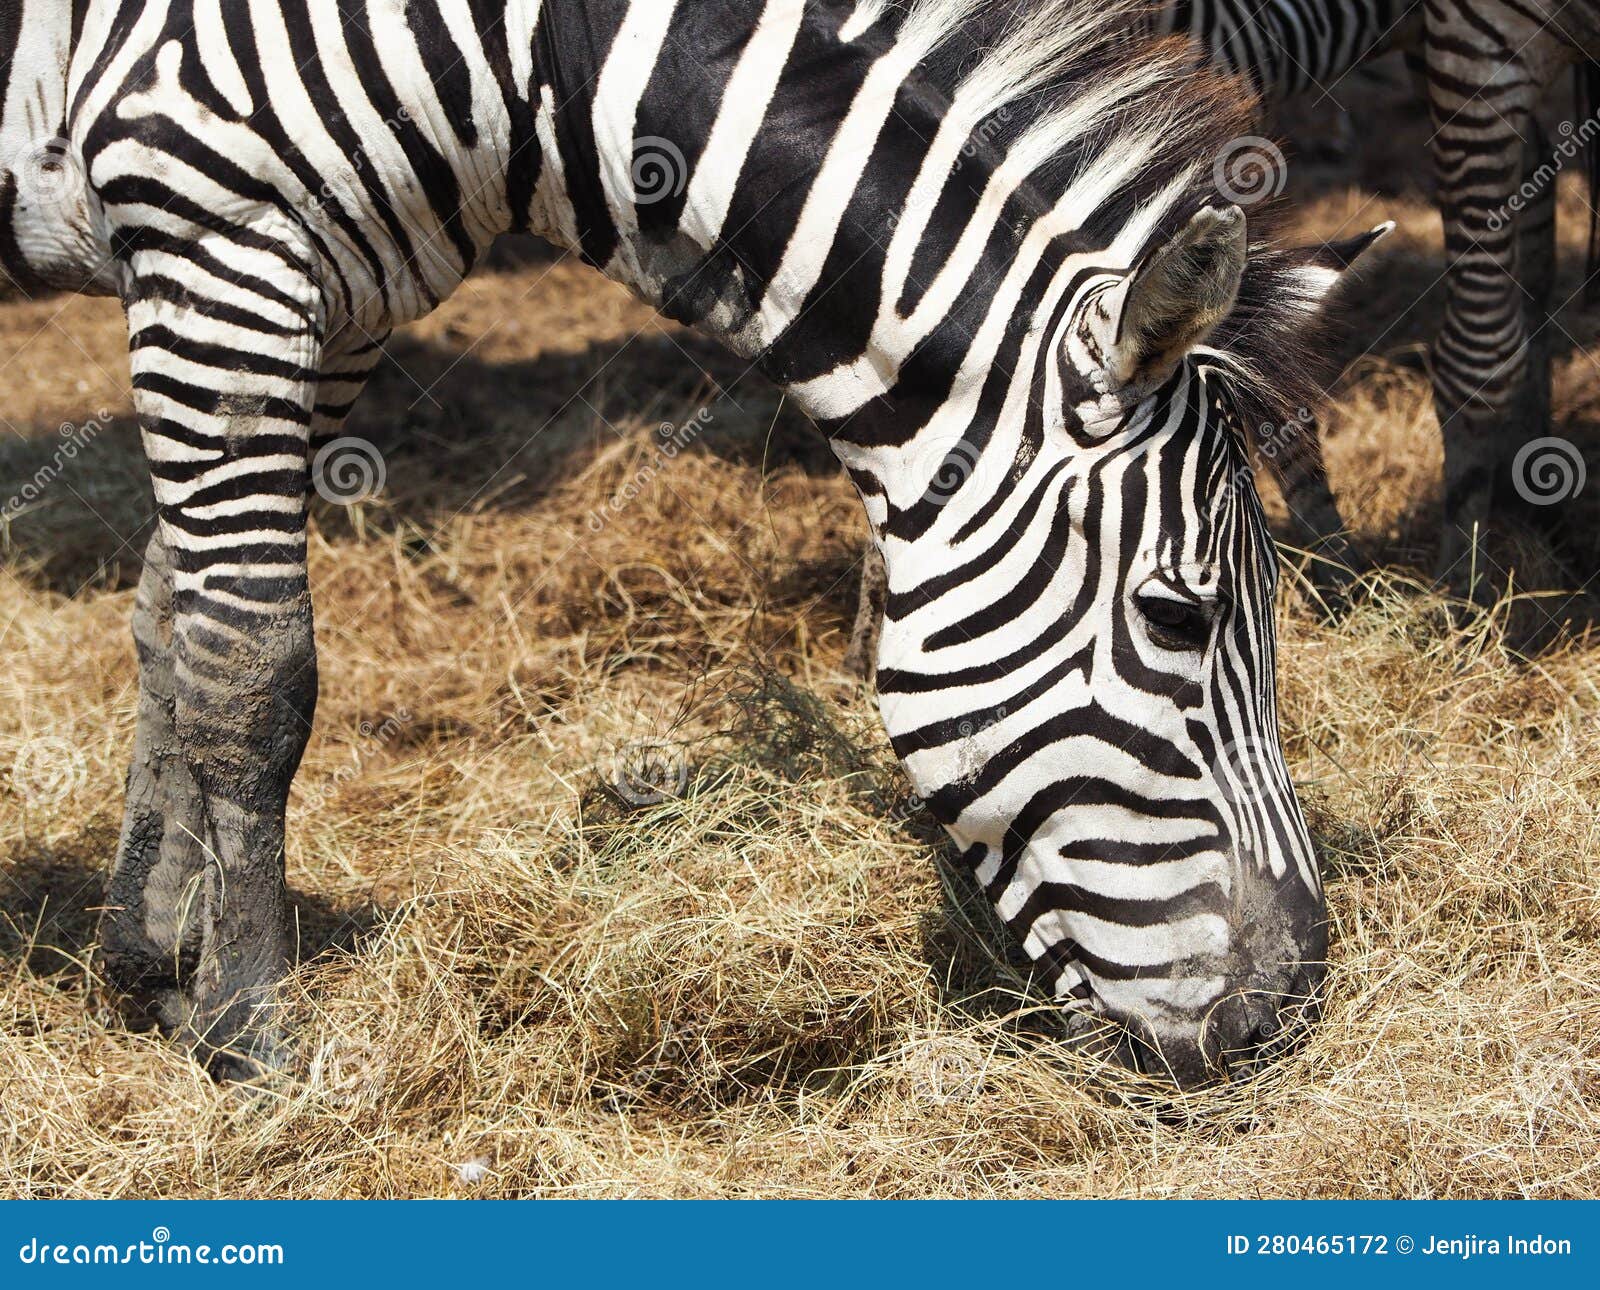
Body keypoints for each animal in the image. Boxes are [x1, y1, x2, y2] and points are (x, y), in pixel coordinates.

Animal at [0, 0, 1385, 1087]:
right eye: (1178, 616)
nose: (1284, 1017)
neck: (536, 60)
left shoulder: (337, 293)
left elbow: (176, 617)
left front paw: (154, 962)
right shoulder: (217, 238)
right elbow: (256, 665)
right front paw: (254, 1036)